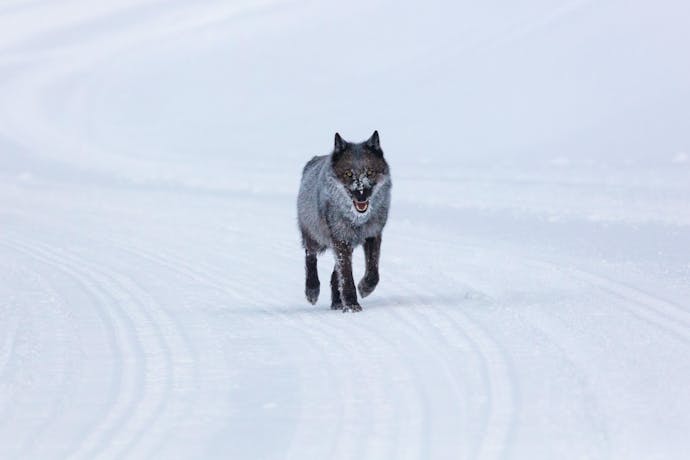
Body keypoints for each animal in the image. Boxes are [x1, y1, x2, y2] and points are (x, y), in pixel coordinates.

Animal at [297, 131, 392, 312]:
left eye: (370, 173)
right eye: (348, 174)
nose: (361, 195)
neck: (358, 221)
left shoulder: (373, 235)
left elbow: (373, 272)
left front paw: (364, 288)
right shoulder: (341, 240)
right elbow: (347, 276)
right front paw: (352, 304)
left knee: (335, 273)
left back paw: (336, 302)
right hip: (315, 238)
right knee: (310, 257)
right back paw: (312, 290)